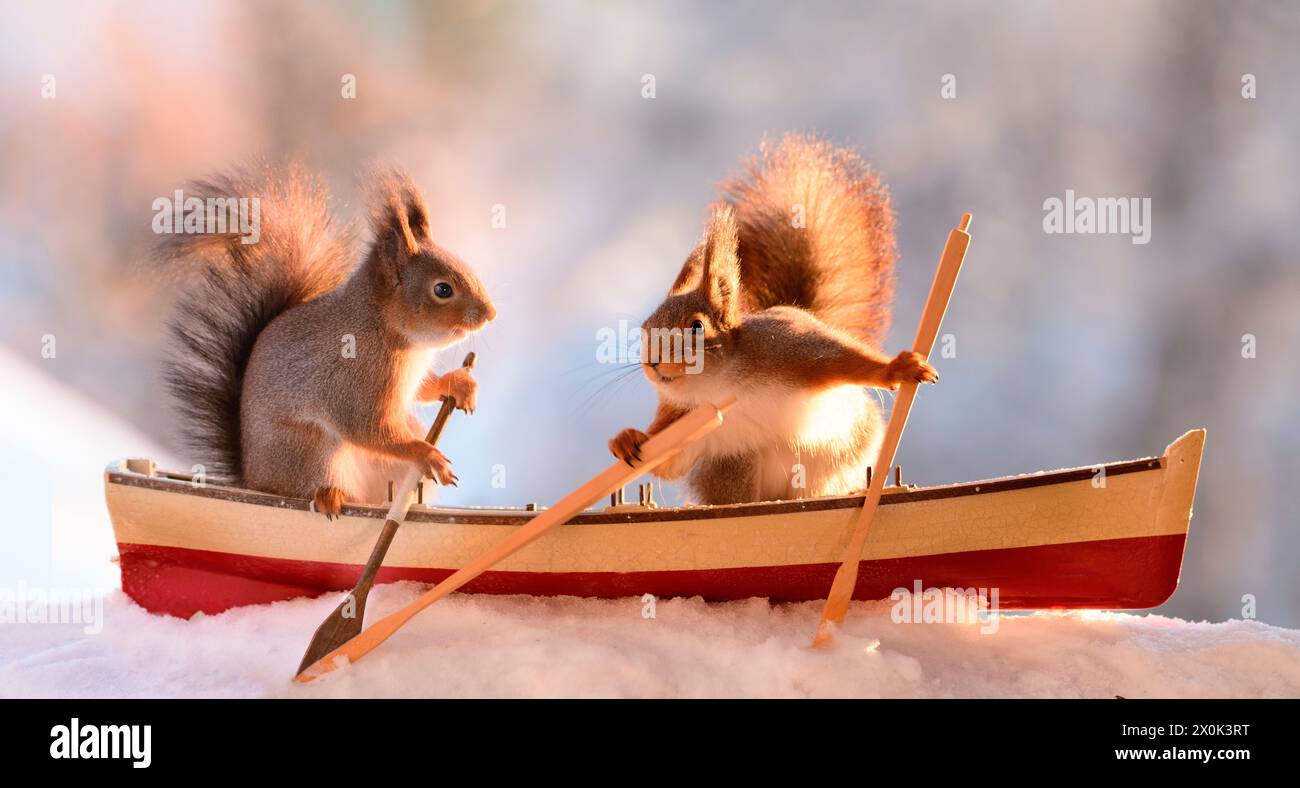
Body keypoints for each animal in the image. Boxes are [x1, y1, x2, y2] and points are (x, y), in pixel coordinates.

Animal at [161, 164, 495, 518]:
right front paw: (426, 455)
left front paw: (458, 383)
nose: (490, 314)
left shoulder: (408, 382)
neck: (391, 333)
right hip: (308, 450)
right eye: (442, 289)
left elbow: (424, 389)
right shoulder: (352, 383)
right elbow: (368, 429)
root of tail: (253, 480)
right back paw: (328, 496)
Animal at [608, 134, 936, 505]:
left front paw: (898, 368)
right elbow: (670, 462)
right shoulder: (686, 421)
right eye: (644, 329)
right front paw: (629, 439)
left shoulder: (788, 350)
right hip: (733, 465)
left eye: (696, 326)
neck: (721, 383)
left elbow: (843, 359)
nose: (651, 363)